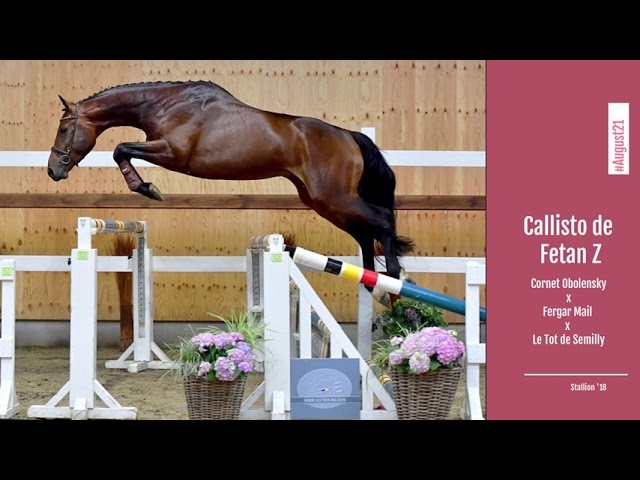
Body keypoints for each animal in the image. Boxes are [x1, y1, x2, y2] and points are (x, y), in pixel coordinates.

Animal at [46, 80, 415, 292]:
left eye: (64, 130)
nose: (53, 170)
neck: (165, 104)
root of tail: (349, 136)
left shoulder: (172, 152)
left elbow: (121, 148)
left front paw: (146, 187)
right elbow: (122, 149)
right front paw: (145, 186)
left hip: (335, 197)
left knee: (382, 221)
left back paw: (394, 279)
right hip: (321, 201)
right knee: (365, 232)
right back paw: (374, 282)